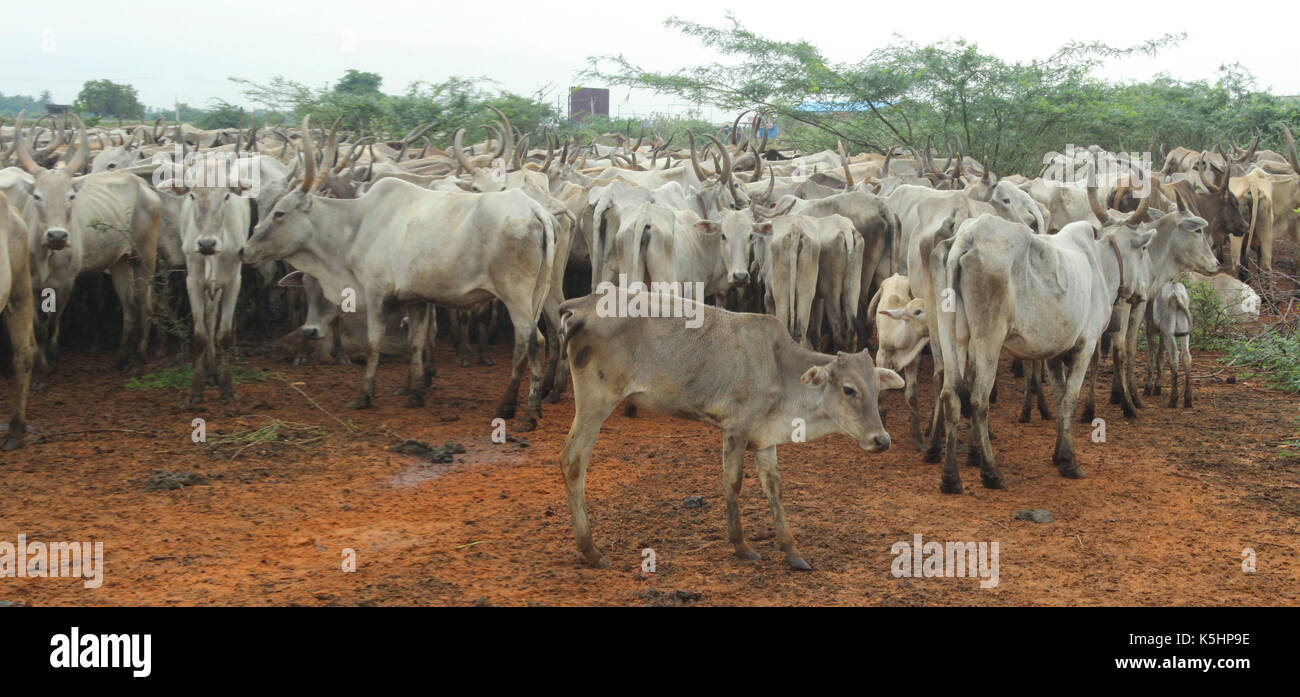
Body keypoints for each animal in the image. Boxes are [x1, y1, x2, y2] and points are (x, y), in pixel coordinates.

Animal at [556, 287, 904, 570]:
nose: (881, 439)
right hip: (595, 402)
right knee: (573, 462)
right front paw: (741, 546)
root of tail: (580, 304)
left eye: (877, 388)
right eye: (848, 389)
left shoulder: (765, 438)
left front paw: (792, 552)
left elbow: (774, 488)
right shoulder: (737, 428)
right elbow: (733, 482)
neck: (778, 367)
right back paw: (591, 550)